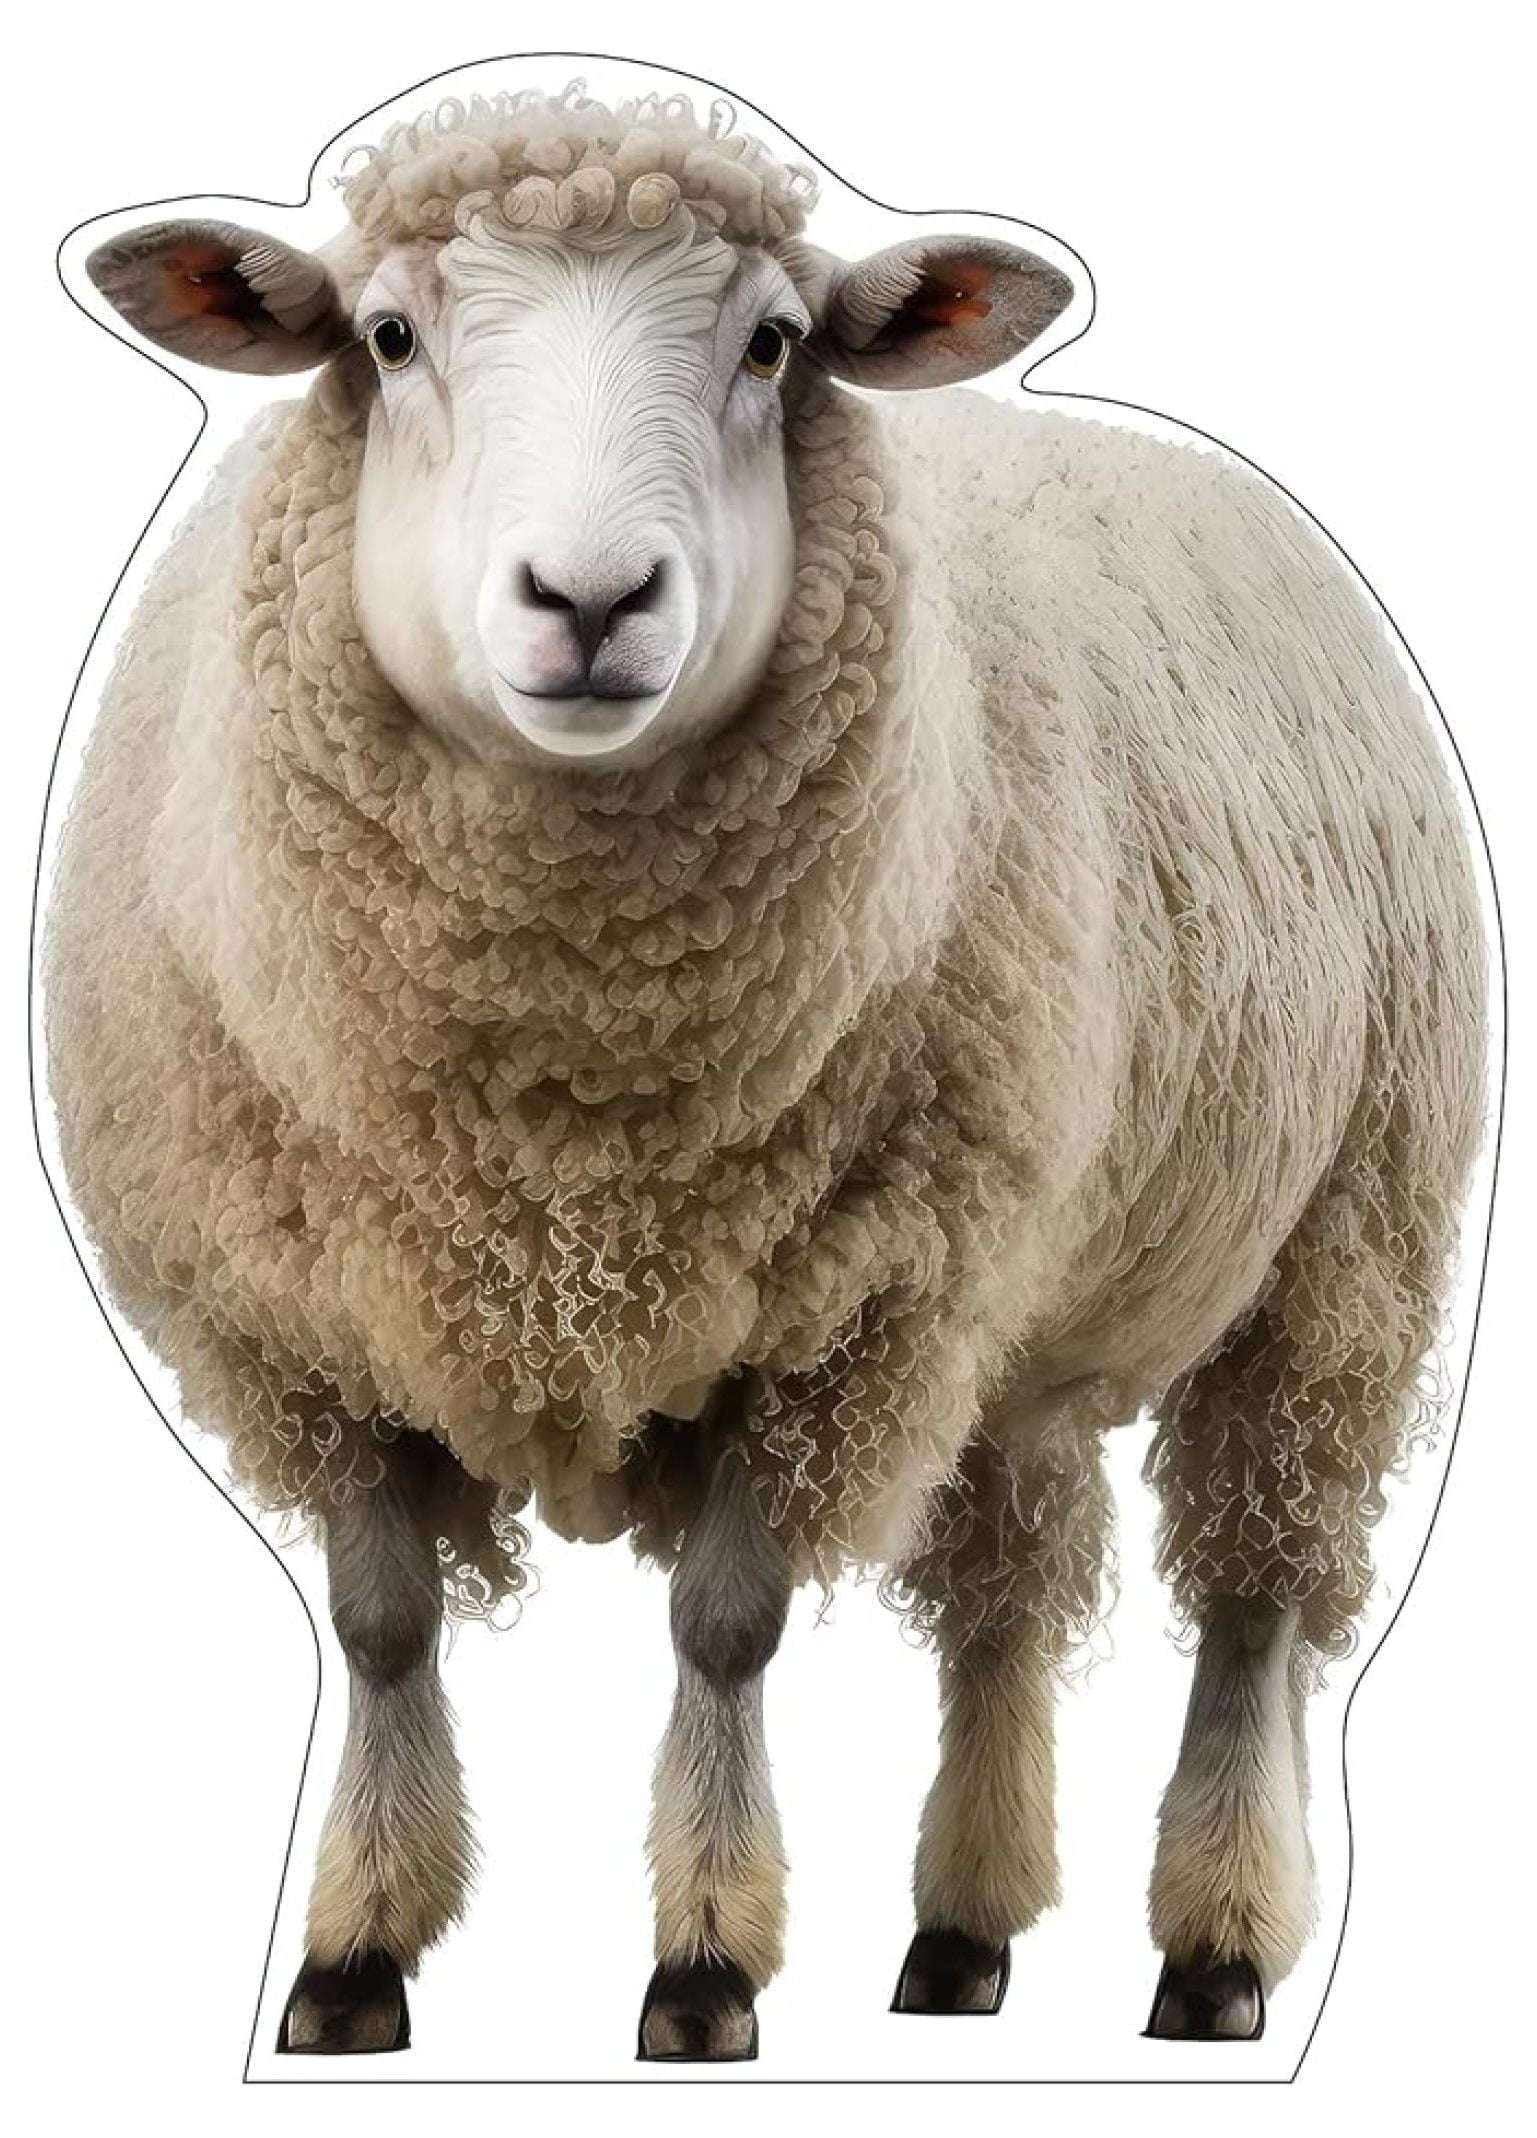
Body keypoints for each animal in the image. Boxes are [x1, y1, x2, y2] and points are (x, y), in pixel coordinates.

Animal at [44, 82, 1489, 2063]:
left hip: (1342, 1248)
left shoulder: (836, 1323)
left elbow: (724, 1625)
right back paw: (959, 1935)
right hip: (1015, 1312)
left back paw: (1213, 1948)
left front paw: (705, 1958)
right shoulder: (311, 1325)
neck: (558, 1112)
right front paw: (354, 1956)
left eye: (773, 343)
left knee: (1257, 1587)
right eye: (388, 337)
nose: (590, 601)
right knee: (1004, 1589)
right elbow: (381, 1618)